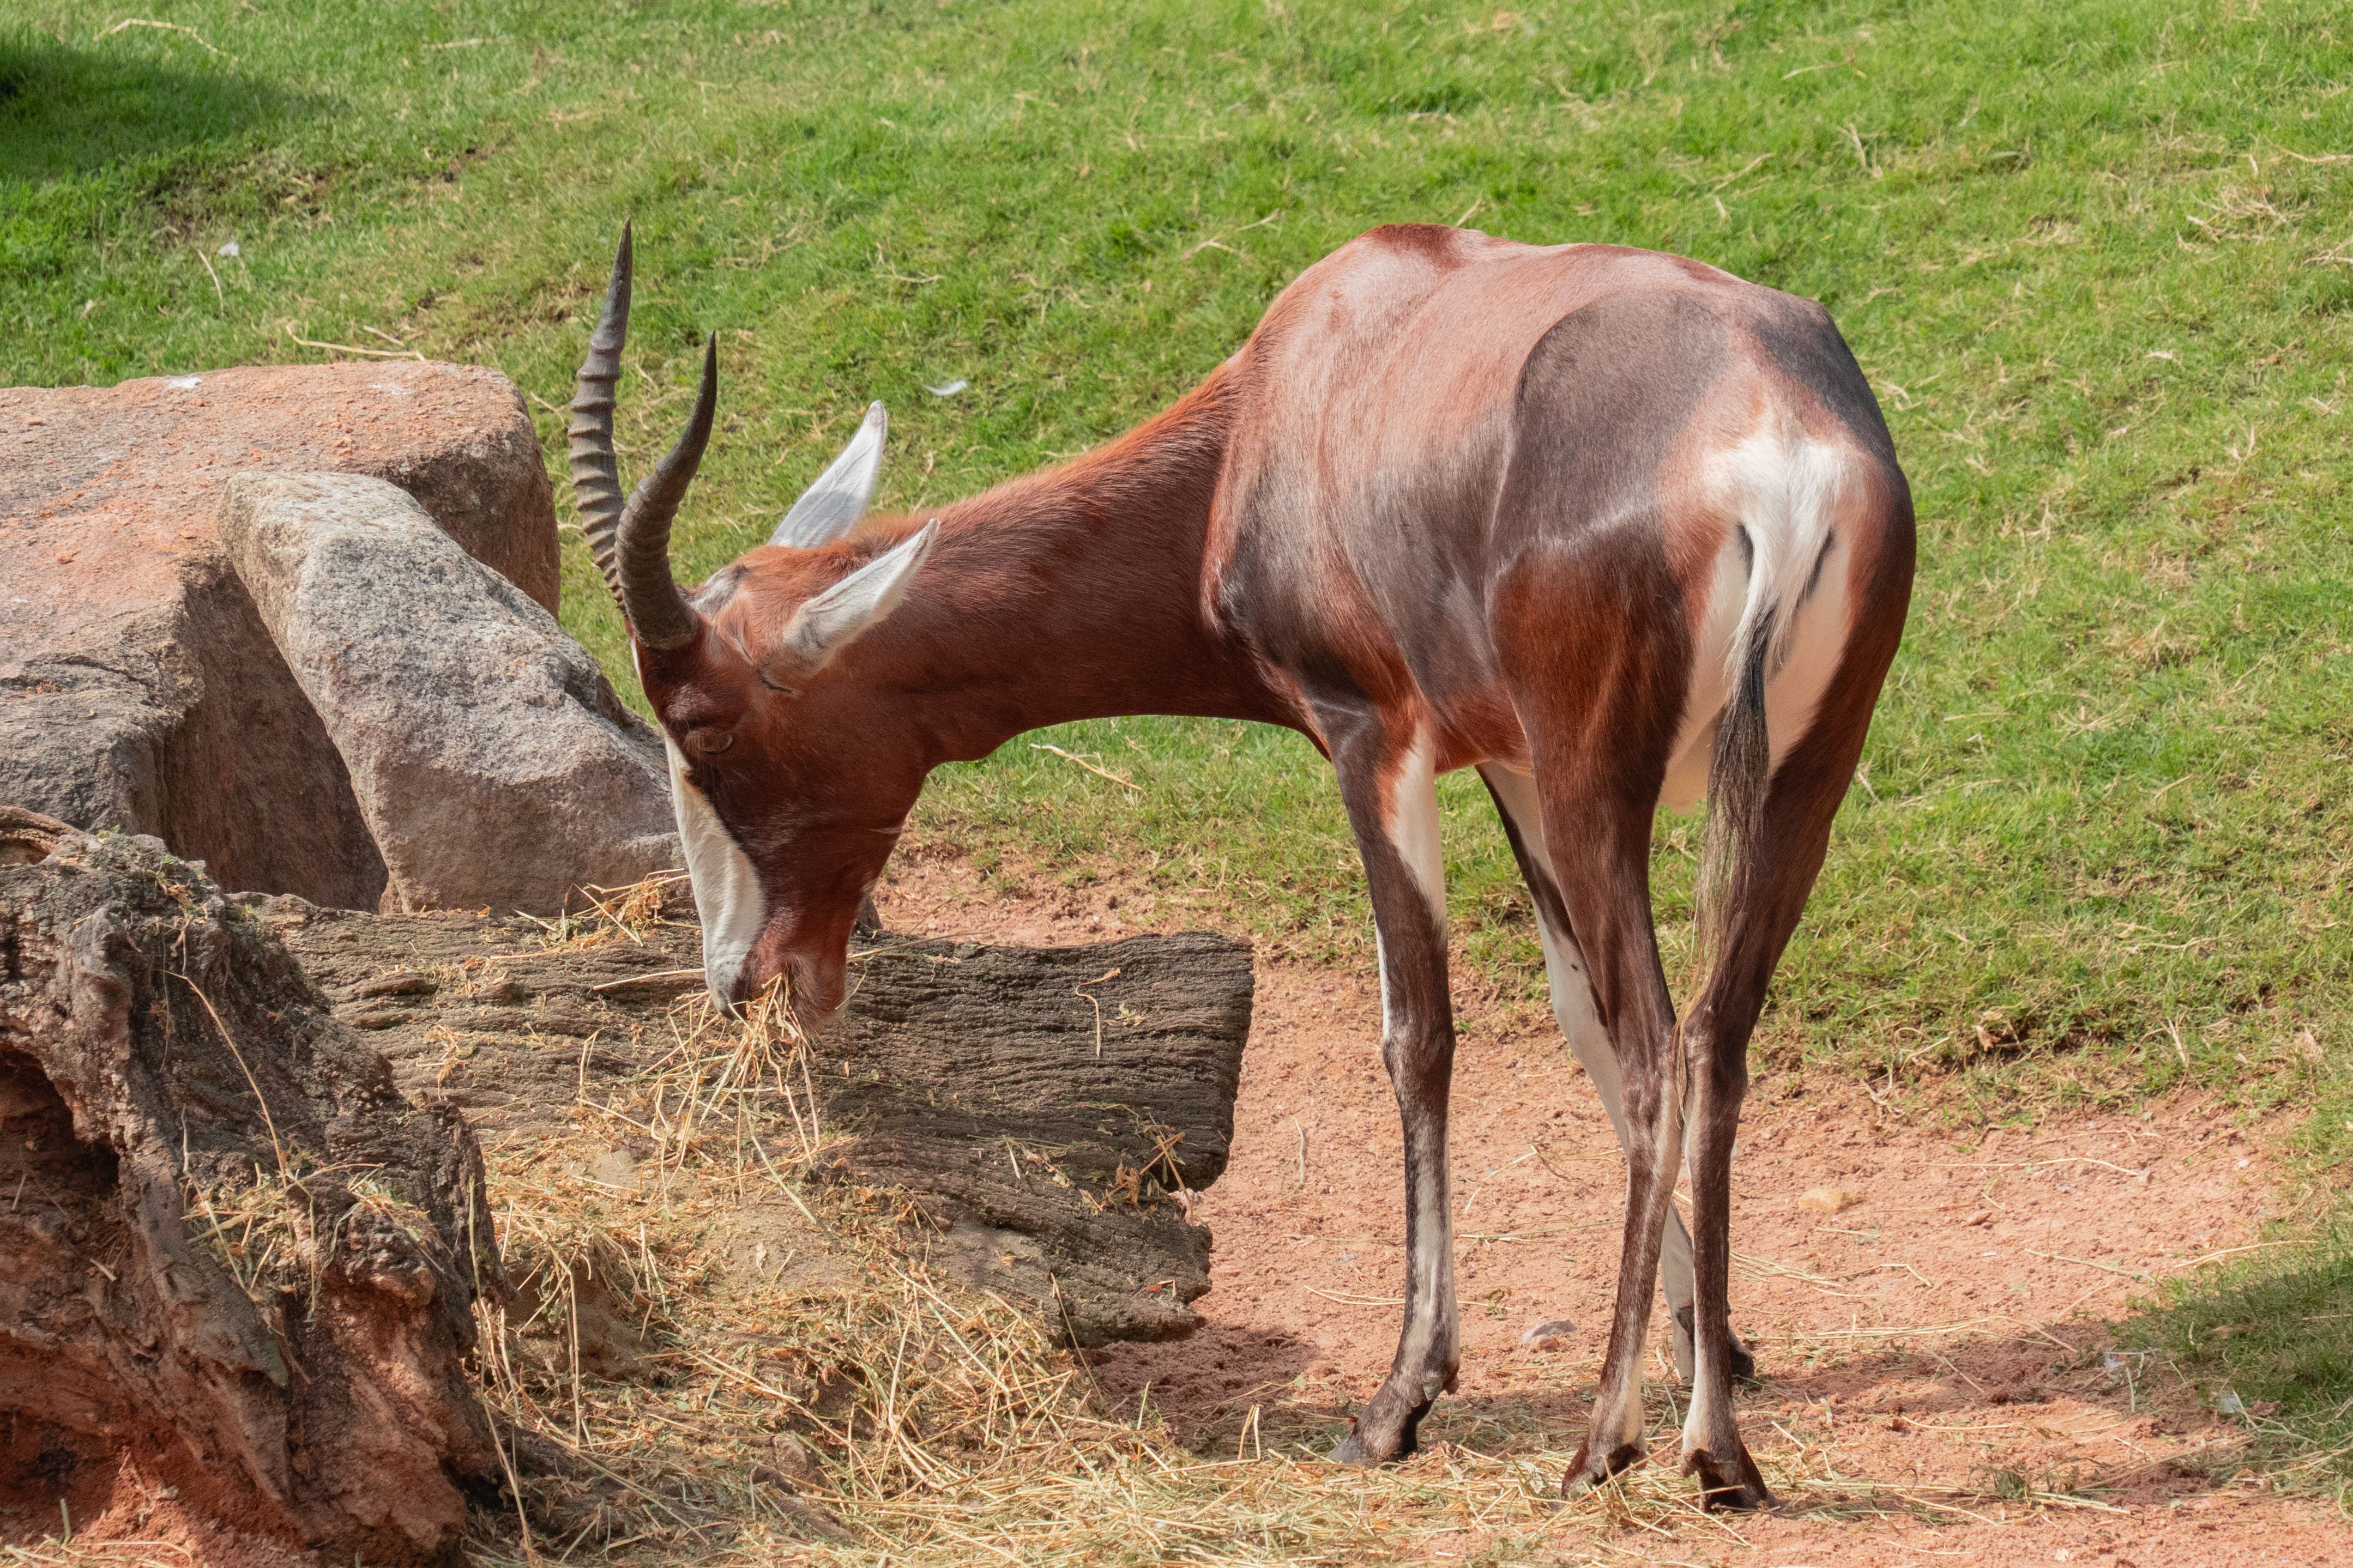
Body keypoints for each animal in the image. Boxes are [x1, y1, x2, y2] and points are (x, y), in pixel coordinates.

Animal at [568, 221, 1913, 1507]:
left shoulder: (1375, 739)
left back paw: (1606, 1445)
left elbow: (1419, 1037)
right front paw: (1713, 1342)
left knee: (1652, 1051)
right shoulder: (1510, 761)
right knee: (1709, 1042)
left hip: (1606, 789)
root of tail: (1768, 438)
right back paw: (1719, 1449)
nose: (740, 976)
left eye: (701, 726)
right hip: (1795, 787)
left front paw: (1396, 1405)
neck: (1301, 383)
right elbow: (1569, 1013)